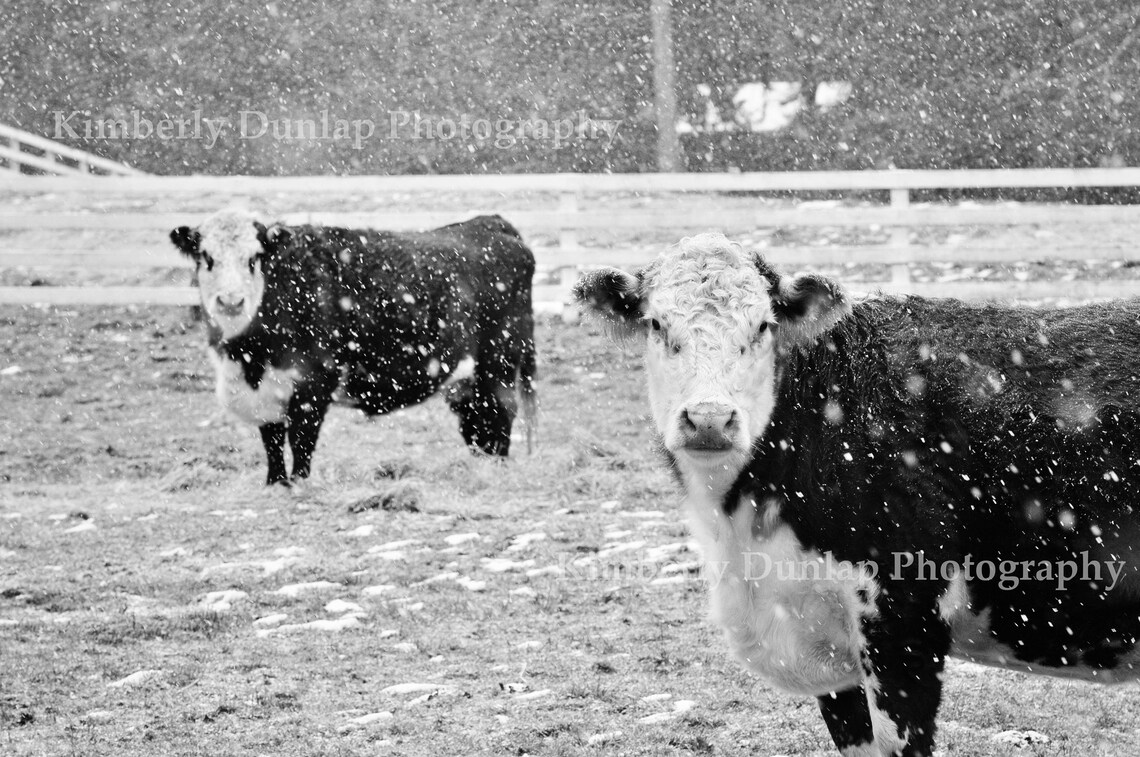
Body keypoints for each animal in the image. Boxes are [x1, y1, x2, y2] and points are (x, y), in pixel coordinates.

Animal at [170, 208, 537, 485]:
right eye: (206, 257)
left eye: (254, 258)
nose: (231, 301)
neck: (248, 358)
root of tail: (490, 223)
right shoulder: (265, 396)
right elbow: (271, 443)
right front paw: (276, 484)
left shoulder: (313, 385)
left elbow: (301, 441)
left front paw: (300, 484)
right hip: (469, 381)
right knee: (478, 425)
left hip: (500, 364)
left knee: (502, 417)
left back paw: (497, 470)